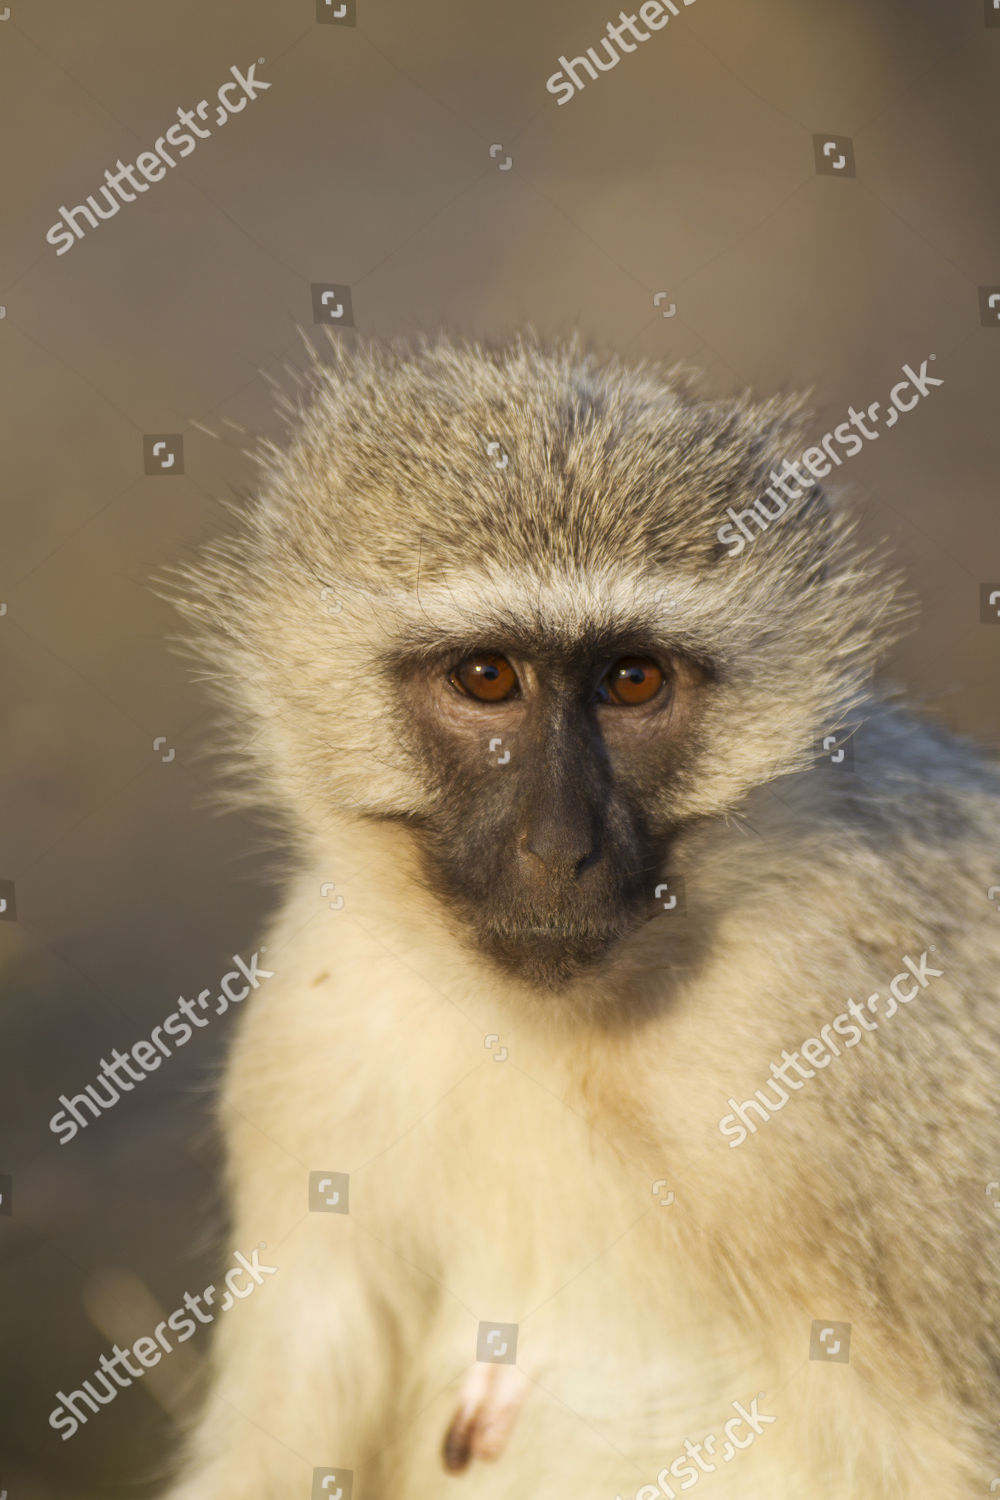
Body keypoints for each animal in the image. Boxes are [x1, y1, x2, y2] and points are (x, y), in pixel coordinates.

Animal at [158, 333, 1000, 1500]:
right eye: (486, 678)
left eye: (632, 681)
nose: (561, 850)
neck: (561, 1030)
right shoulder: (314, 1025)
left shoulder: (865, 1028)